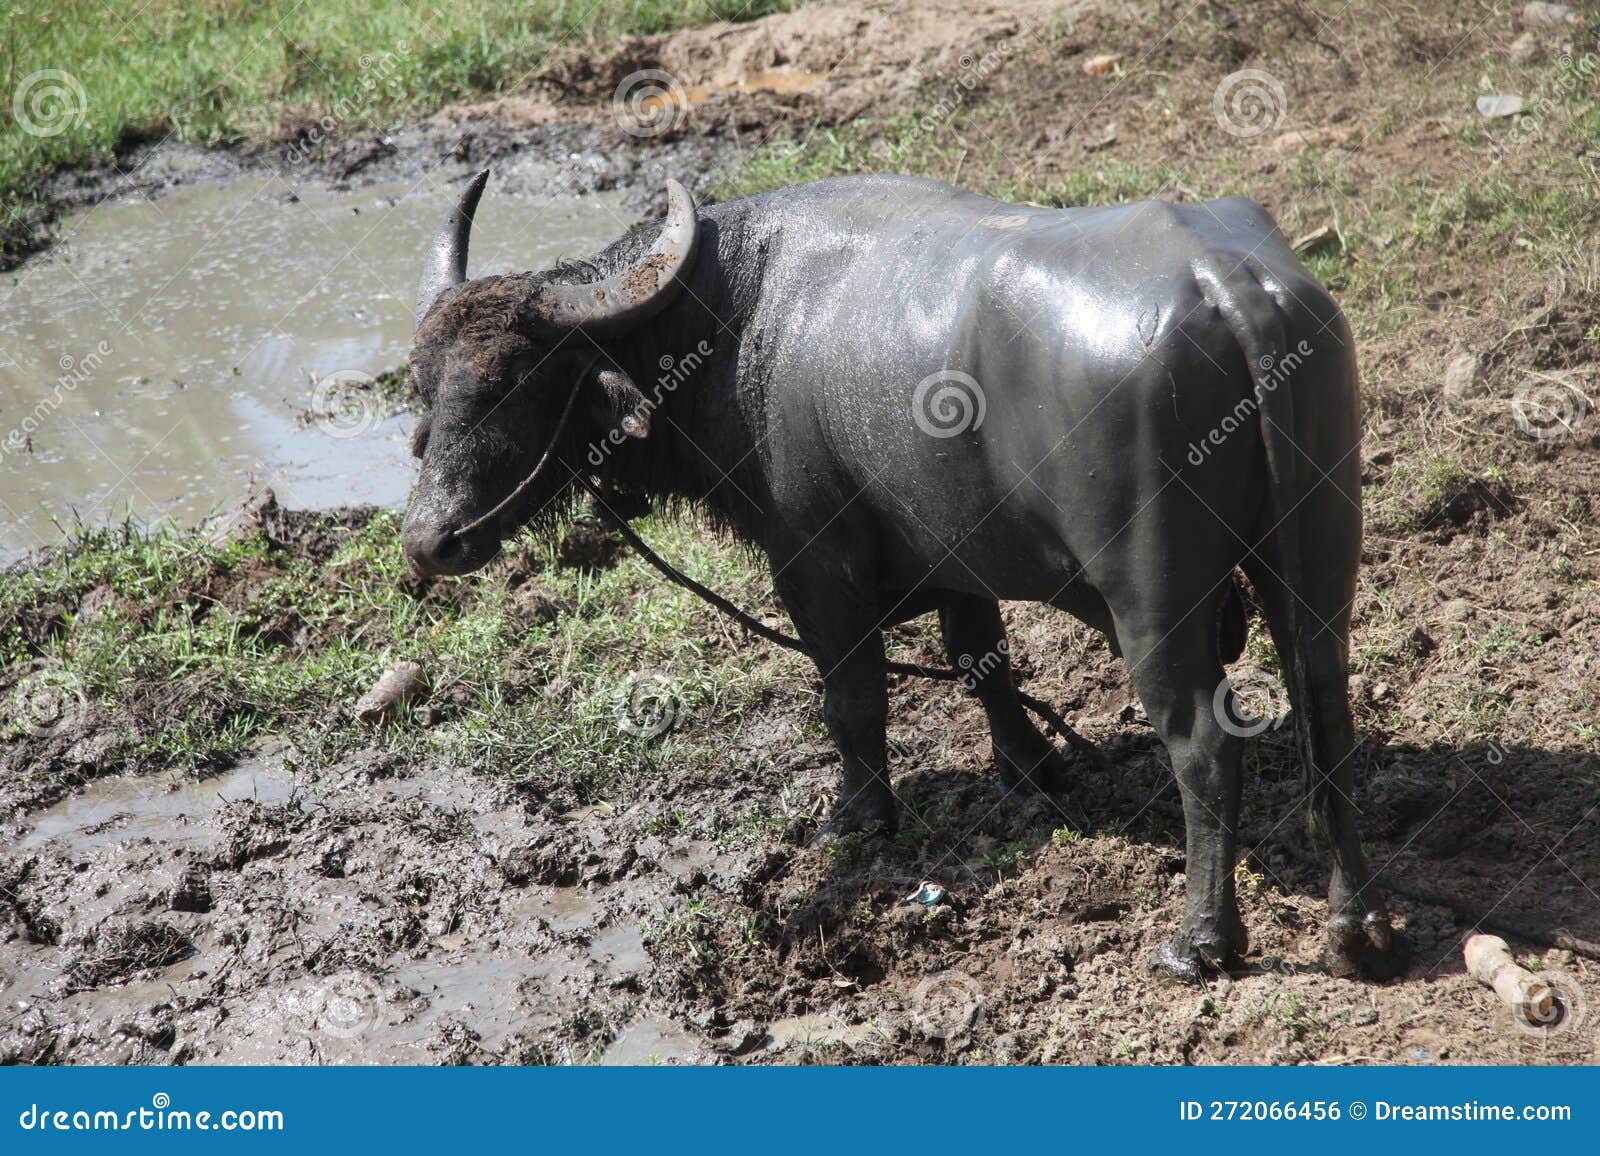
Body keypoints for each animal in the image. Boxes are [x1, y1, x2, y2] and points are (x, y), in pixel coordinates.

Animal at [400, 170, 1406, 980]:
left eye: (514, 383)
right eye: (426, 384)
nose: (430, 541)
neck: (741, 320)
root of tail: (1225, 283)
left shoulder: (815, 564)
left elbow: (853, 699)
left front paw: (856, 815)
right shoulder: (956, 554)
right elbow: (982, 660)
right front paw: (1029, 770)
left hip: (1155, 601)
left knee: (1205, 745)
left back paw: (1199, 943)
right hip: (1316, 557)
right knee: (1326, 703)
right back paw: (1353, 931)